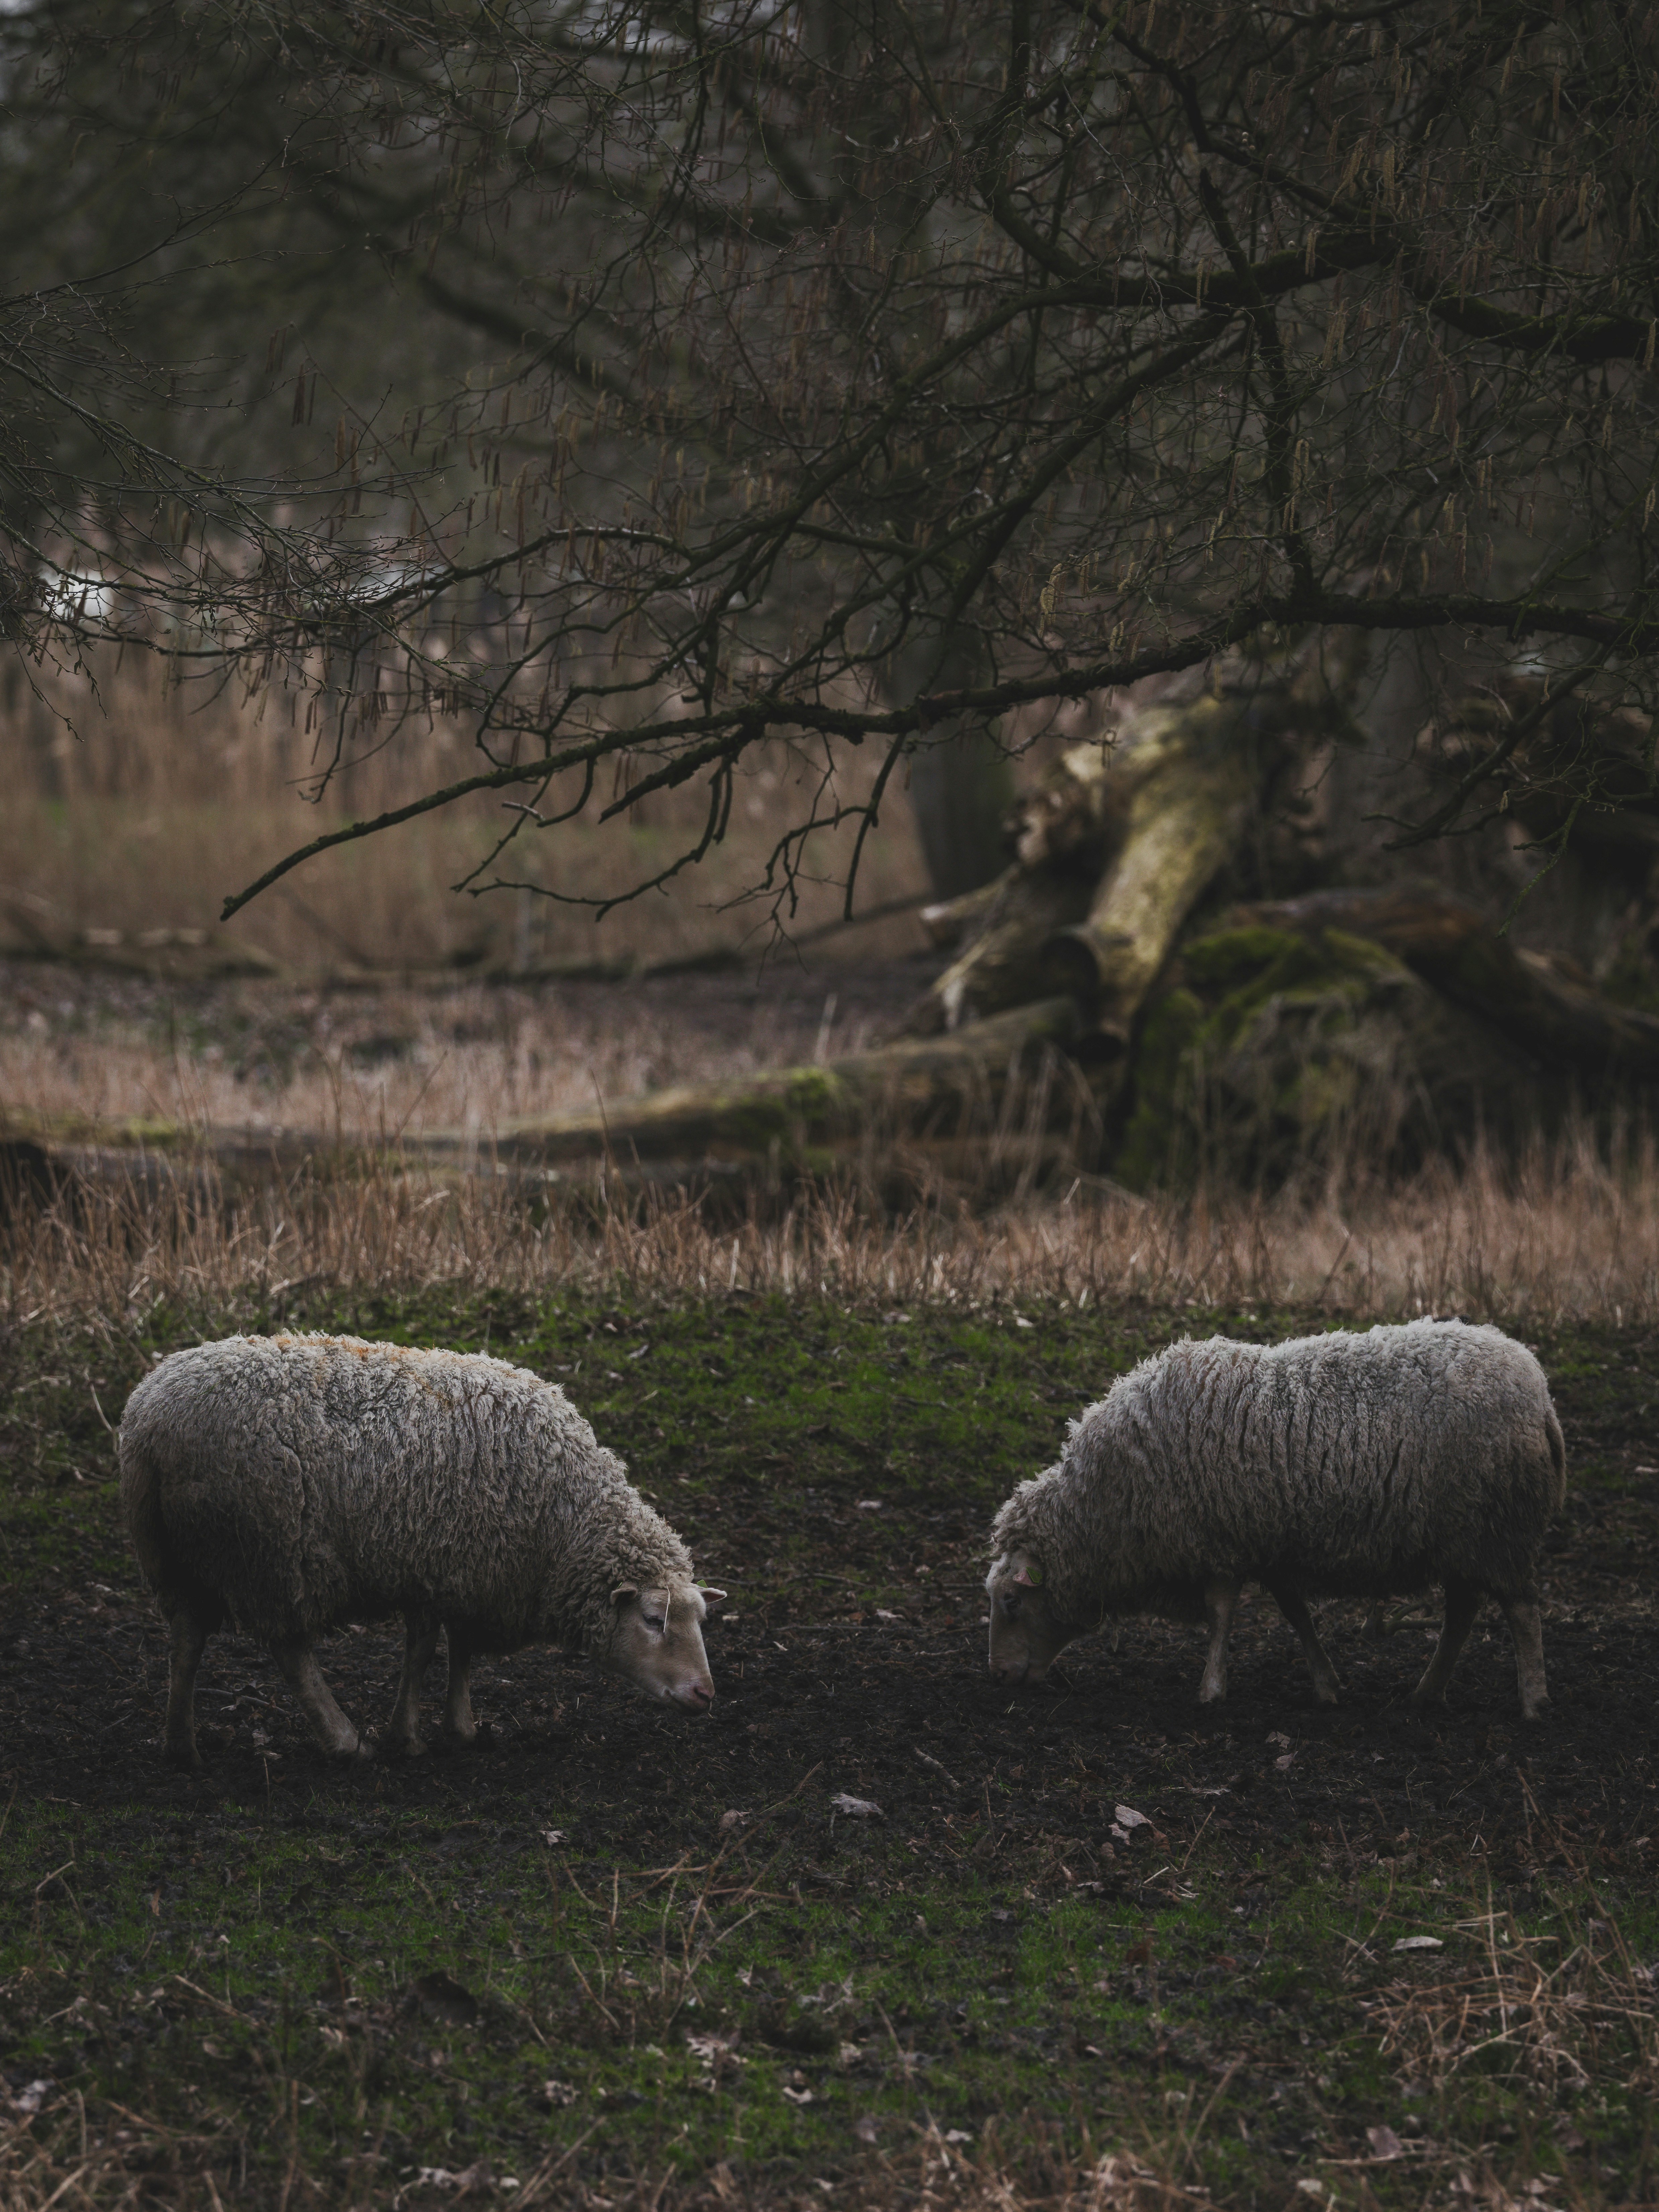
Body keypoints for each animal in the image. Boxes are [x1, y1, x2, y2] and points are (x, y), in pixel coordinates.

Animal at [118, 1332, 720, 1768]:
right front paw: (411, 1736)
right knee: (291, 1652)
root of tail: (148, 1423)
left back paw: (182, 1745)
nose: (706, 1694)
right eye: (652, 1620)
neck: (563, 1521)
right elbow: (429, 1651)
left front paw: (458, 1727)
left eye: (700, 1621)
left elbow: (458, 1650)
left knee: (187, 1641)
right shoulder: (445, 1566)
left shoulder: (460, 1571)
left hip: (182, 1557)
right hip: (270, 1552)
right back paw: (345, 1741)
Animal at [985, 1318, 1565, 1720]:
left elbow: (1221, 1614)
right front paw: (1326, 1685)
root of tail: (1538, 1392)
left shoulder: (1217, 1541)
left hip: (1497, 1528)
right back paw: (1427, 1691)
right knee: (1463, 1613)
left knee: (1520, 1611)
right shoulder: (1267, 1542)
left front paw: (1210, 1690)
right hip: (1464, 1535)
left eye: (1011, 1600)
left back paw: (1534, 1700)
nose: (999, 1674)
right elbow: (1294, 1613)